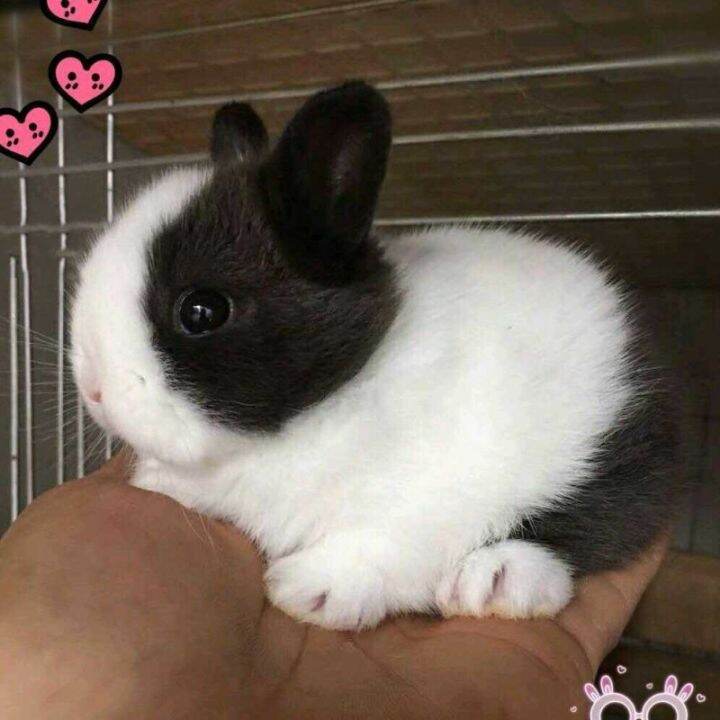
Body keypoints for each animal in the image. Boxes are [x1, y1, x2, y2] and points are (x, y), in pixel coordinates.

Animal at [71, 81, 681, 631]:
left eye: (202, 311)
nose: (94, 392)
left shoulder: (426, 504)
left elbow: (383, 550)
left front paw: (312, 592)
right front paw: (157, 481)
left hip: (612, 452)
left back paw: (496, 581)